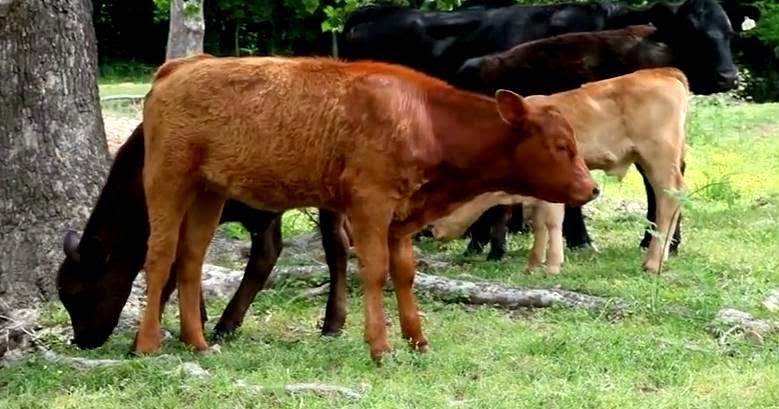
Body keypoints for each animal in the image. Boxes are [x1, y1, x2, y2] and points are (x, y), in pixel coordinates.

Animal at [57, 125, 351, 350]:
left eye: (79, 293)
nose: (82, 340)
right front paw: (197, 318)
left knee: (336, 246)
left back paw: (332, 324)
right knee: (267, 254)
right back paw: (227, 324)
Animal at [137, 54, 597, 361]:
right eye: (561, 145)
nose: (592, 189)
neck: (423, 120)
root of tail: (182, 65)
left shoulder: (403, 217)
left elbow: (405, 272)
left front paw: (417, 340)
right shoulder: (369, 204)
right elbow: (375, 271)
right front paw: (380, 346)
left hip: (209, 192)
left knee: (191, 259)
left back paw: (198, 342)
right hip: (168, 179)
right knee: (160, 256)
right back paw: (147, 344)